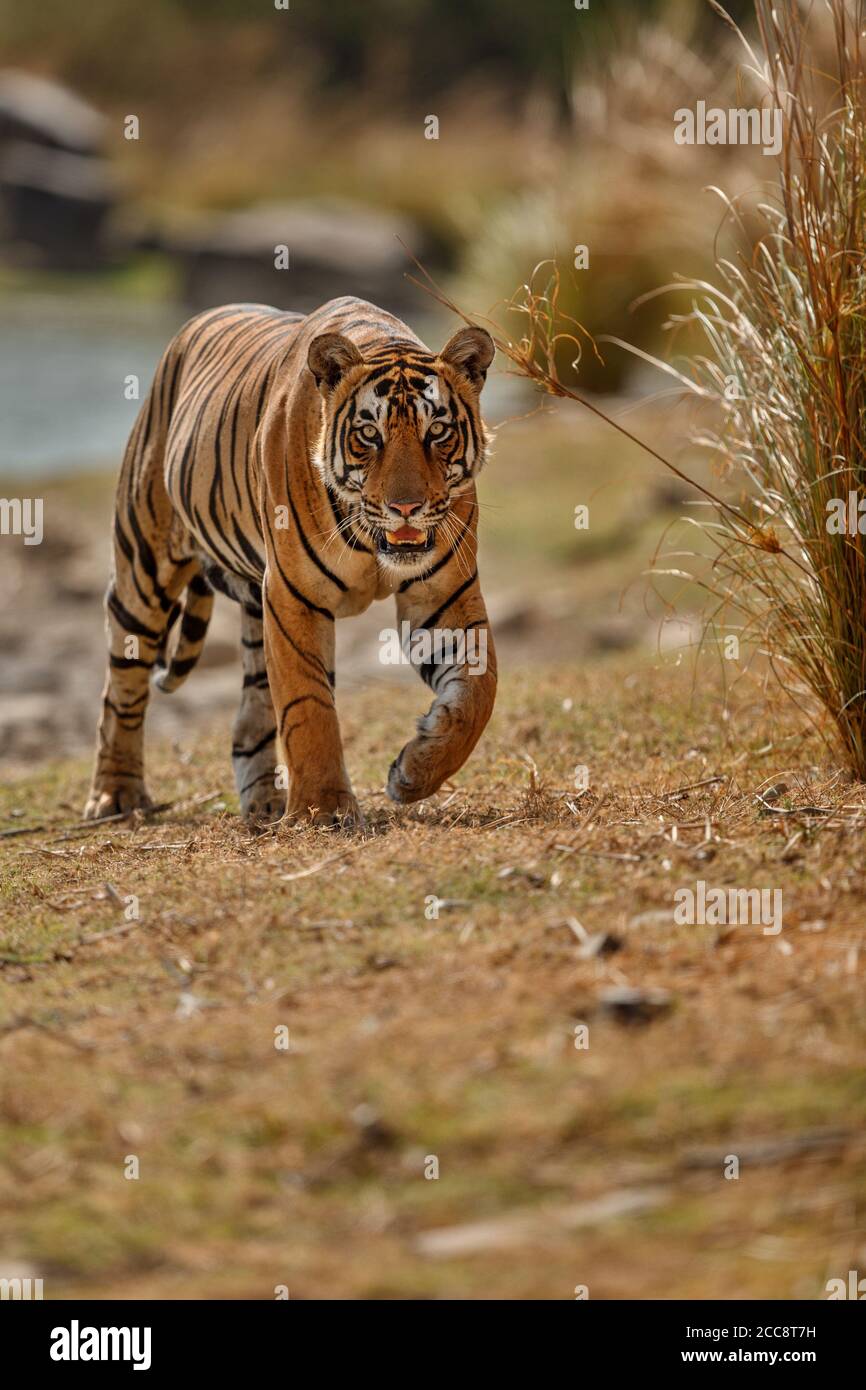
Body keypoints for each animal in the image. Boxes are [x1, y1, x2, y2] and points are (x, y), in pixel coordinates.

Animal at [84, 296, 498, 831]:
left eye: (438, 431)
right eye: (370, 435)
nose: (405, 507)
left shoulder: (443, 594)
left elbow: (478, 691)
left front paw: (415, 772)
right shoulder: (290, 595)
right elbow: (308, 705)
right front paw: (325, 809)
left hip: (250, 609)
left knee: (248, 718)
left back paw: (264, 803)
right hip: (143, 569)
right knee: (121, 689)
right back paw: (115, 796)